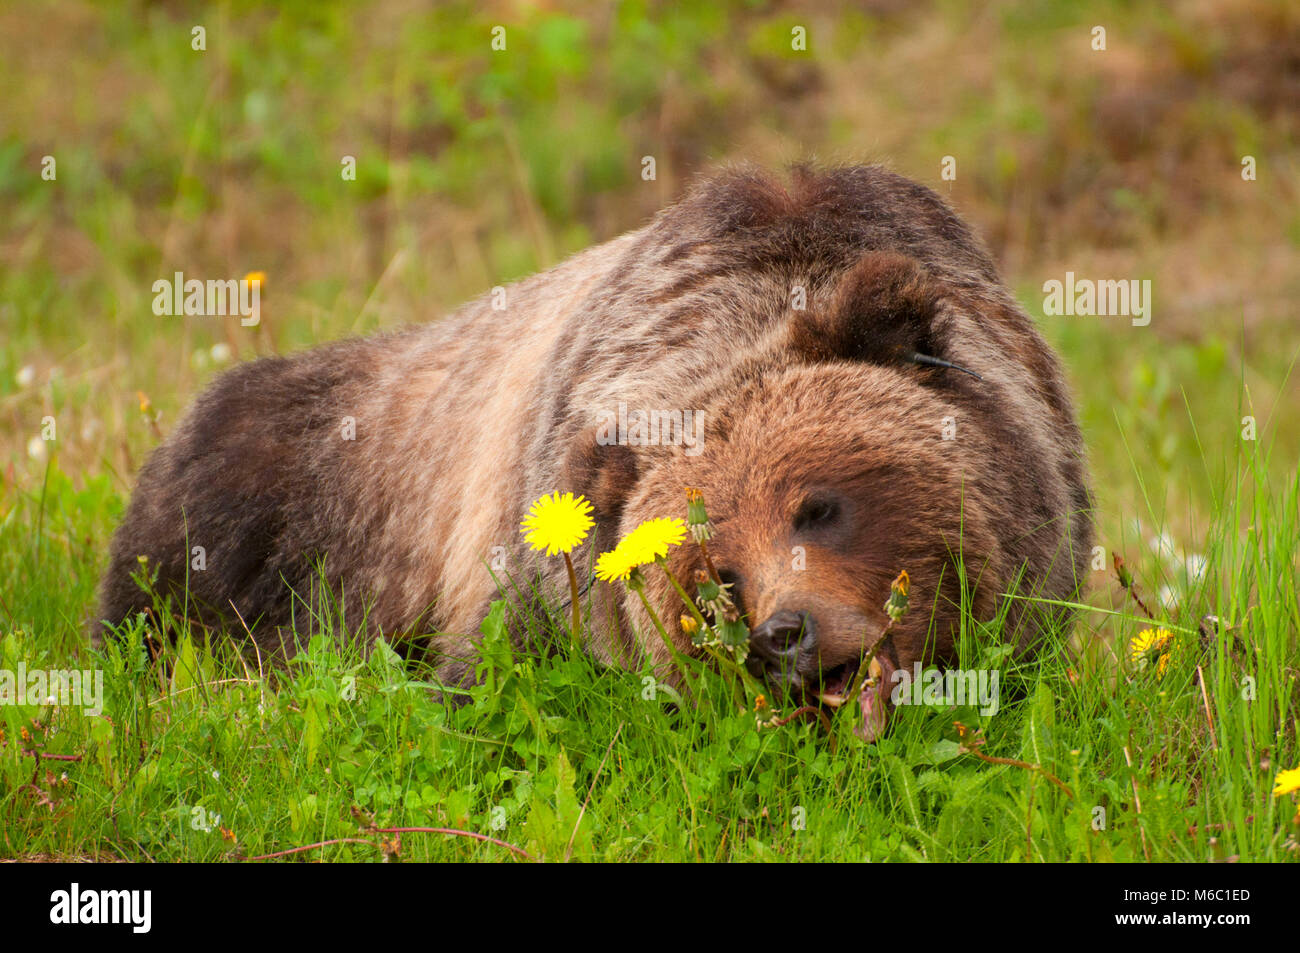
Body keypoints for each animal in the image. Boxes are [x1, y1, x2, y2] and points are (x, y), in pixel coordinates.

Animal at [97, 164, 1093, 737]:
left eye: (820, 504)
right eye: (718, 573)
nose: (784, 634)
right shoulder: (541, 569)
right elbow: (491, 694)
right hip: (308, 485)